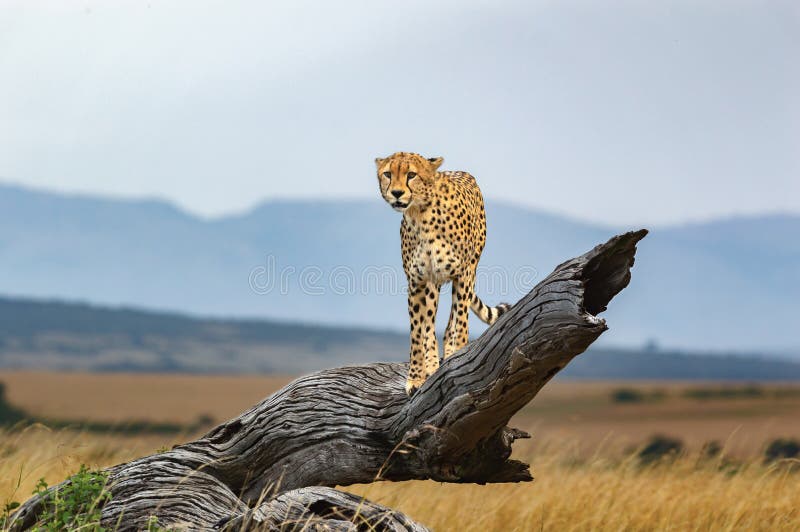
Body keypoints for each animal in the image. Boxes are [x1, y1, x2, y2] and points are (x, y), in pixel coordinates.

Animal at [375, 152, 511, 395]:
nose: (397, 193)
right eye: (388, 174)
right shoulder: (417, 281)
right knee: (430, 324)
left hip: (469, 269)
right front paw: (416, 377)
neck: (420, 213)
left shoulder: (463, 274)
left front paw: (459, 355)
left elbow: (460, 321)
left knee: (453, 320)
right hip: (432, 285)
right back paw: (432, 365)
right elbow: (418, 332)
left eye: (411, 175)